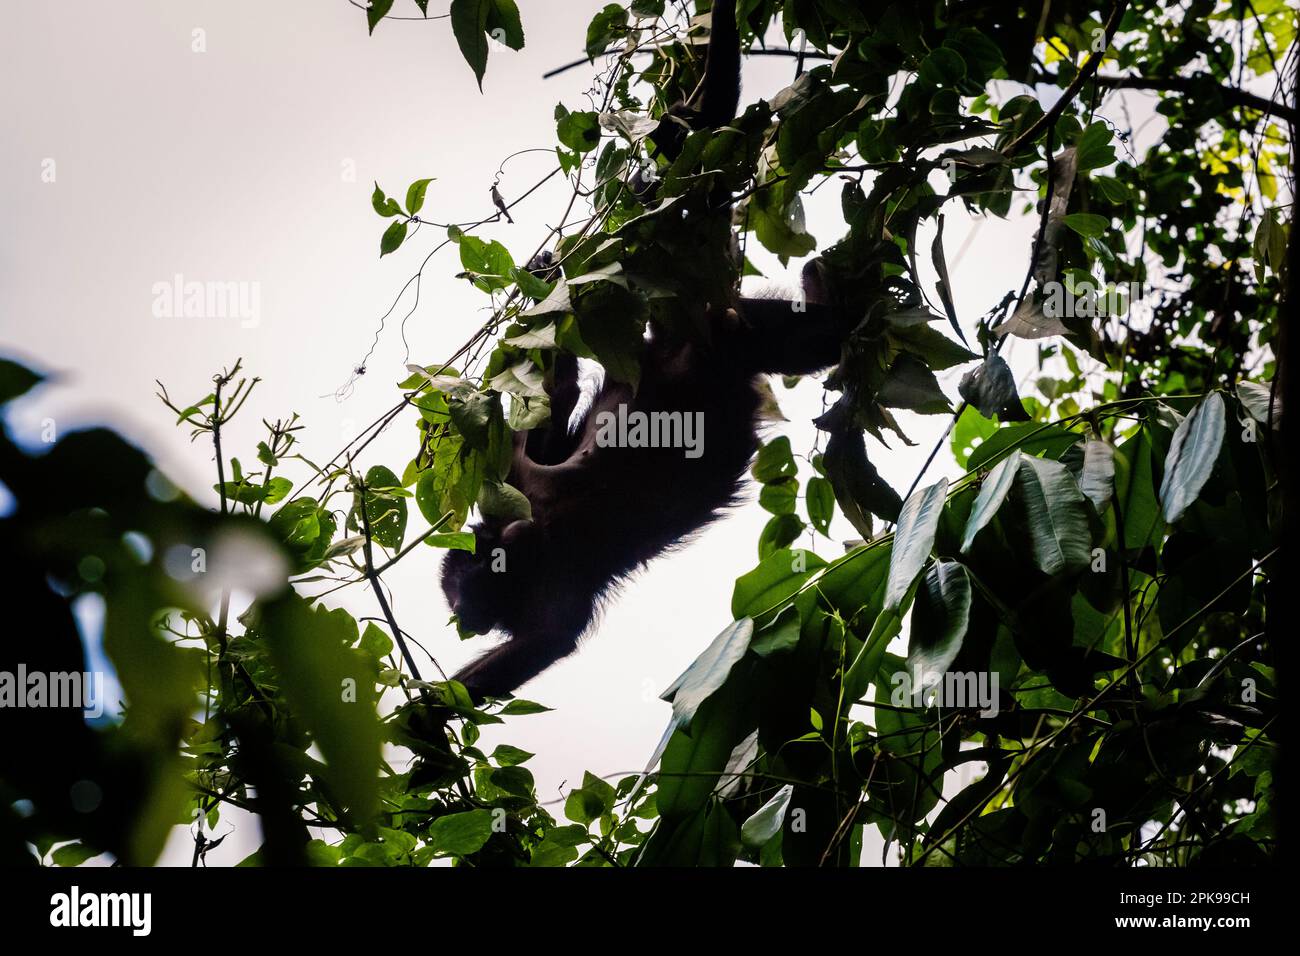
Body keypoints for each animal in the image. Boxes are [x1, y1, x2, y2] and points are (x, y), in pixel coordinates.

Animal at [440, 0, 857, 699]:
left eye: (466, 600)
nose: (462, 622)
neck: (533, 531)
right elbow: (554, 404)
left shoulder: (551, 558)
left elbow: (542, 639)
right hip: (702, 326)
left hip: (712, 338)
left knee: (807, 338)